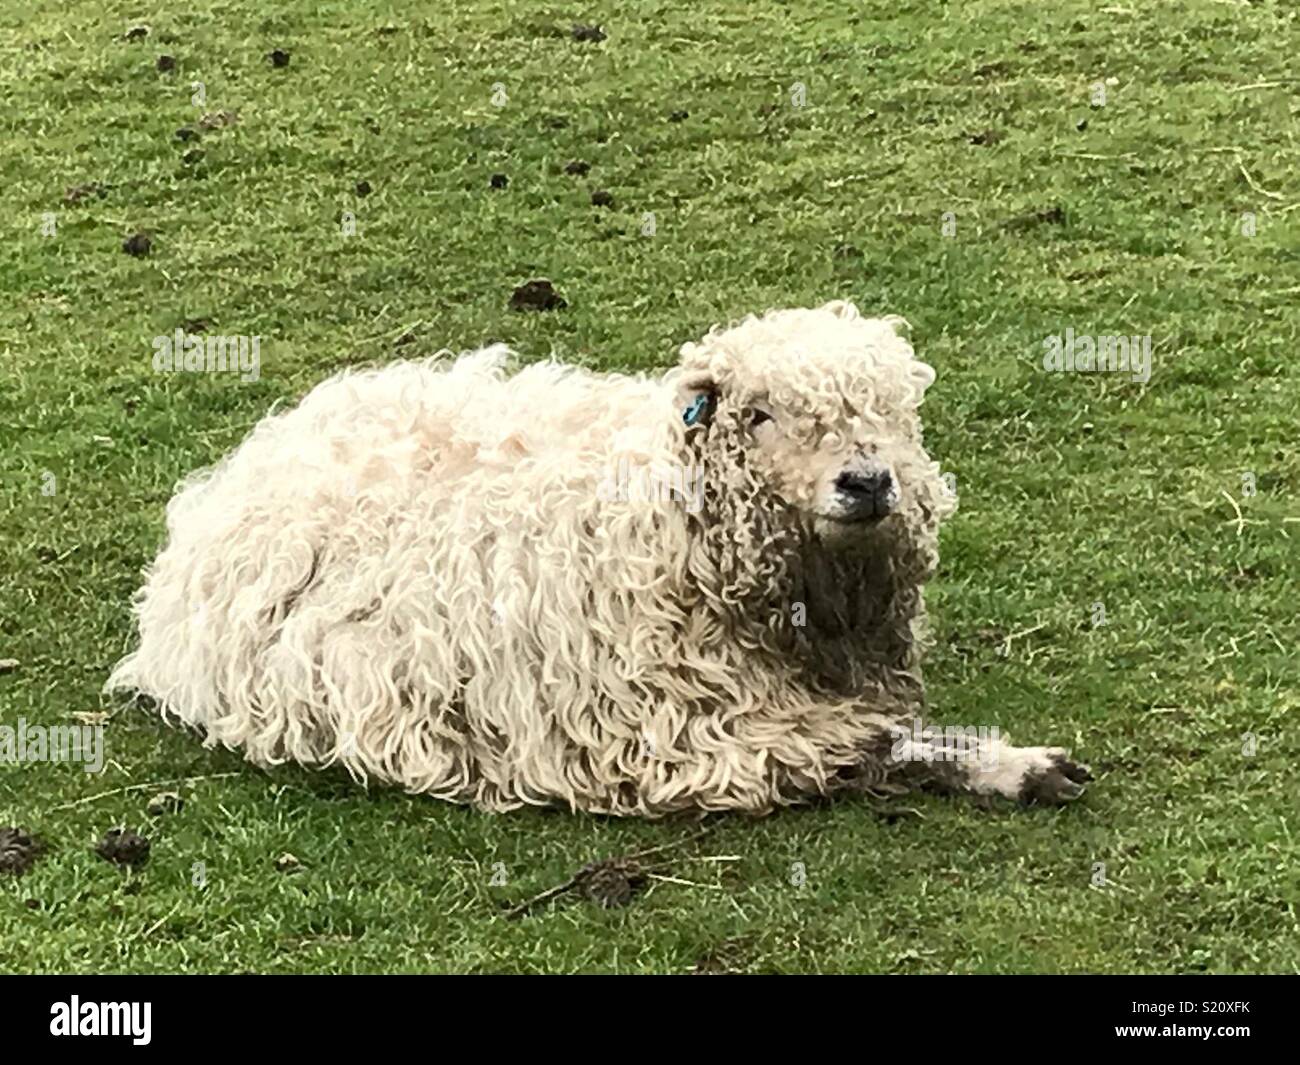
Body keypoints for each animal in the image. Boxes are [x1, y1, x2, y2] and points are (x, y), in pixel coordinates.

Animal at [106, 301, 1092, 816]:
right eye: (758, 414)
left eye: (893, 409)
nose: (868, 481)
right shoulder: (683, 734)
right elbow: (870, 743)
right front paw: (1019, 765)